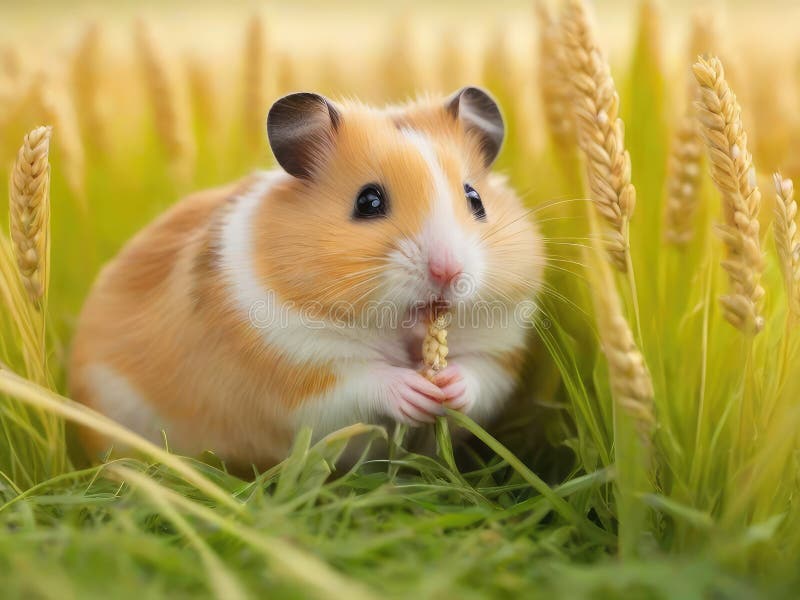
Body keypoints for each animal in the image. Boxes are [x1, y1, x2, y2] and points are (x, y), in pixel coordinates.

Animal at [68, 87, 544, 470]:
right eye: (368, 201)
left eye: (475, 199)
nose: (449, 270)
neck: (397, 333)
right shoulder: (298, 375)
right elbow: (361, 383)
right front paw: (416, 392)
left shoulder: (502, 349)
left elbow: (480, 378)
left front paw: (447, 386)